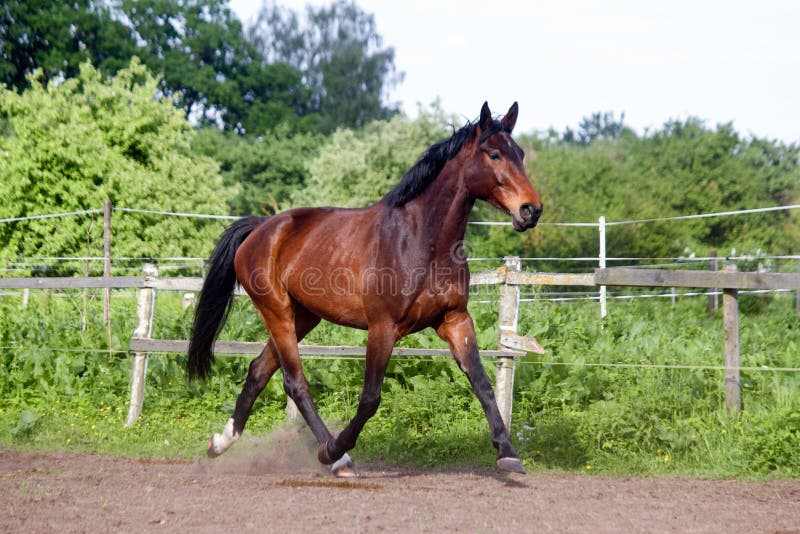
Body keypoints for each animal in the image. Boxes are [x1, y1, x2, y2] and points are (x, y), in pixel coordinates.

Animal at [187, 101, 543, 476]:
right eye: (494, 154)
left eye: (520, 154)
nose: (531, 210)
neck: (421, 240)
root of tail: (261, 228)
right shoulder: (383, 327)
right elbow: (370, 398)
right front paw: (336, 448)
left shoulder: (455, 320)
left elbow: (483, 384)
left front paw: (508, 453)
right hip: (277, 311)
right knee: (294, 382)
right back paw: (335, 458)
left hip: (304, 317)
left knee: (258, 370)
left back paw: (220, 442)